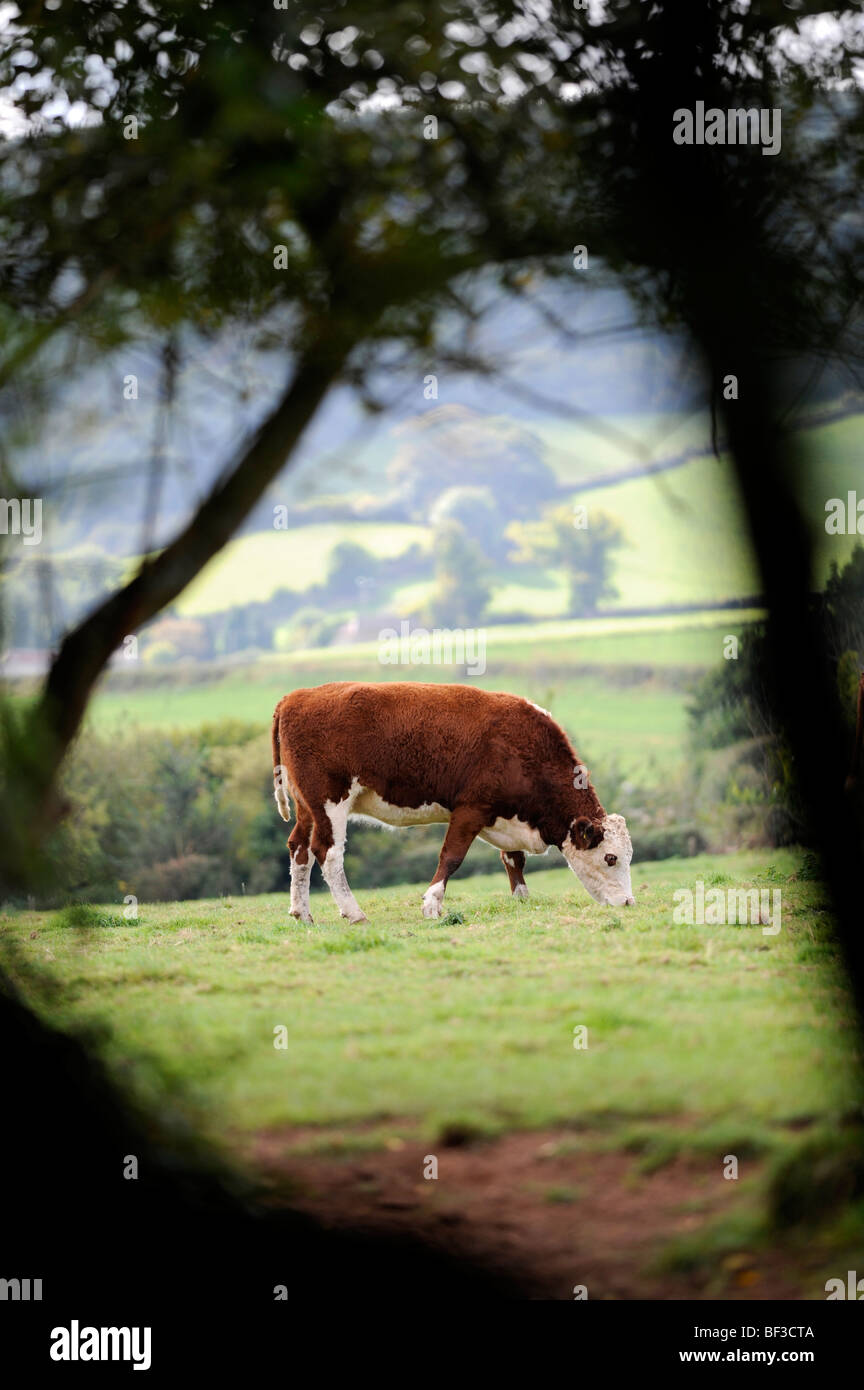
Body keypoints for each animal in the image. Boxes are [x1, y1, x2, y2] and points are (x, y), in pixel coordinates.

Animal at [271, 681, 634, 924]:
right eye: (611, 858)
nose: (630, 902)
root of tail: (296, 696)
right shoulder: (471, 809)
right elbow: (452, 857)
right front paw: (432, 904)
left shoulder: (505, 815)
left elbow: (513, 859)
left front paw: (521, 899)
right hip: (329, 803)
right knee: (328, 853)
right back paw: (354, 912)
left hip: (306, 807)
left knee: (299, 849)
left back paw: (302, 913)